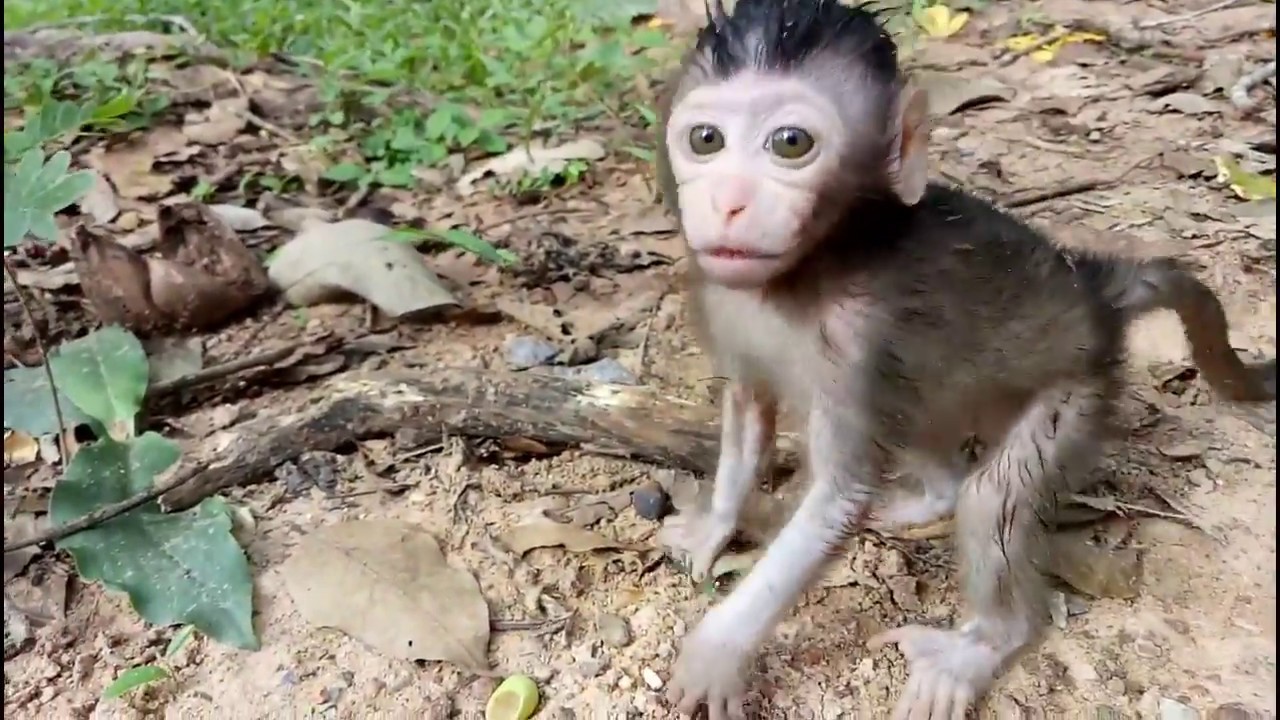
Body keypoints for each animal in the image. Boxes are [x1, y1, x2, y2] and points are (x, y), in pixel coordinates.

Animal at [650, 1, 1277, 719]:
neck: (809, 271)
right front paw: (714, 528)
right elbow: (747, 414)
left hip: (1077, 389)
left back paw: (982, 646)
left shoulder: (861, 337)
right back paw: (934, 498)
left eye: (790, 143)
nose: (729, 202)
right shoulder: (717, 296)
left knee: (991, 497)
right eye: (705, 139)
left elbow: (837, 501)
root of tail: (1092, 288)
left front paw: (718, 646)